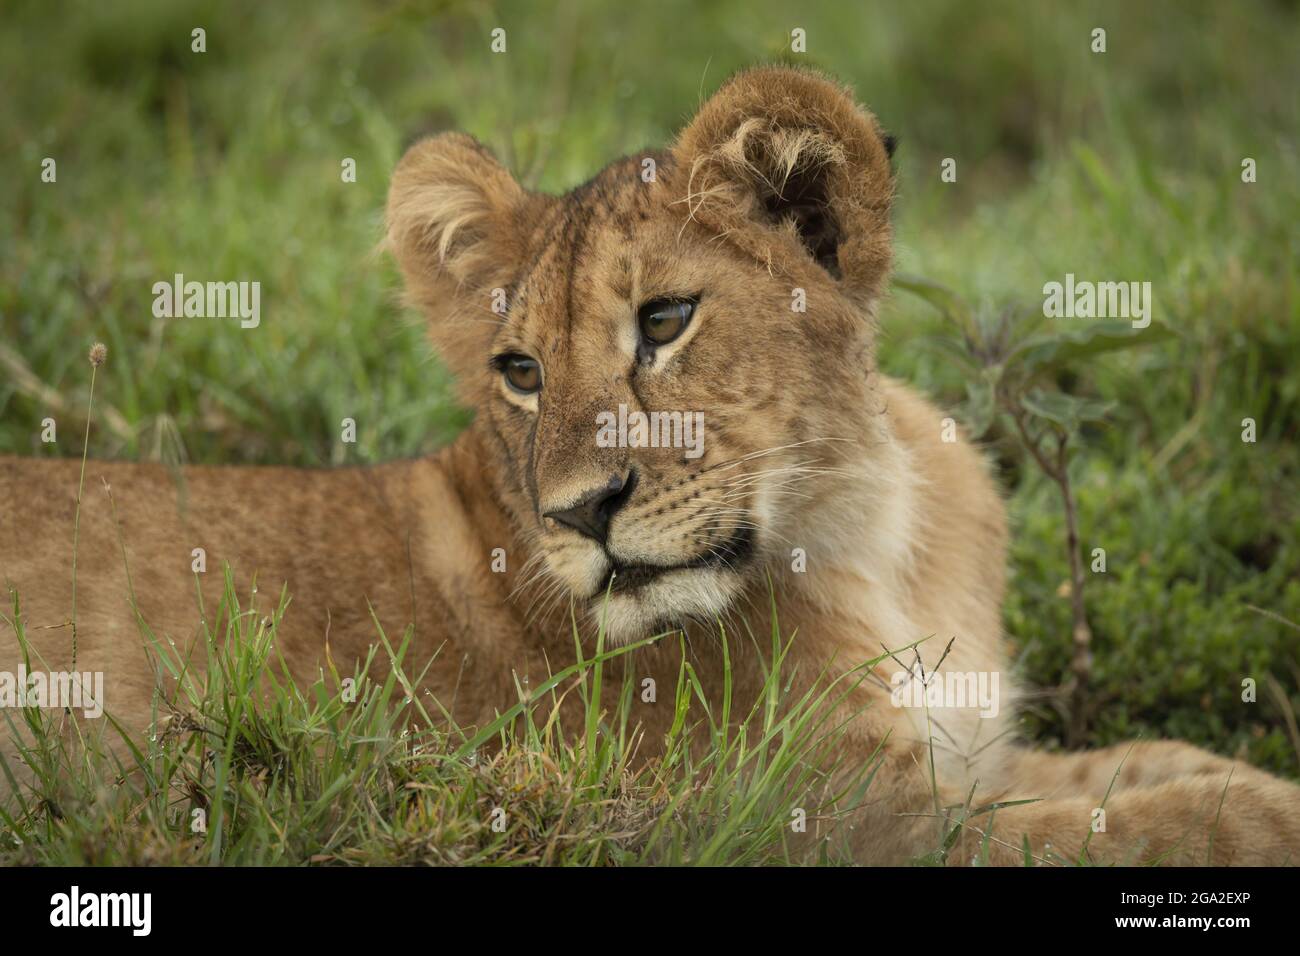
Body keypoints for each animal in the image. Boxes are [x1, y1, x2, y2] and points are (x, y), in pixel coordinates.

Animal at [2, 66, 1298, 865]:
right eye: (521, 370)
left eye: (666, 321)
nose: (583, 513)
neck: (873, 527)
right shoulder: (842, 824)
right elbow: (1156, 825)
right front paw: (1264, 811)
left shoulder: (973, 754)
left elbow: (1146, 763)